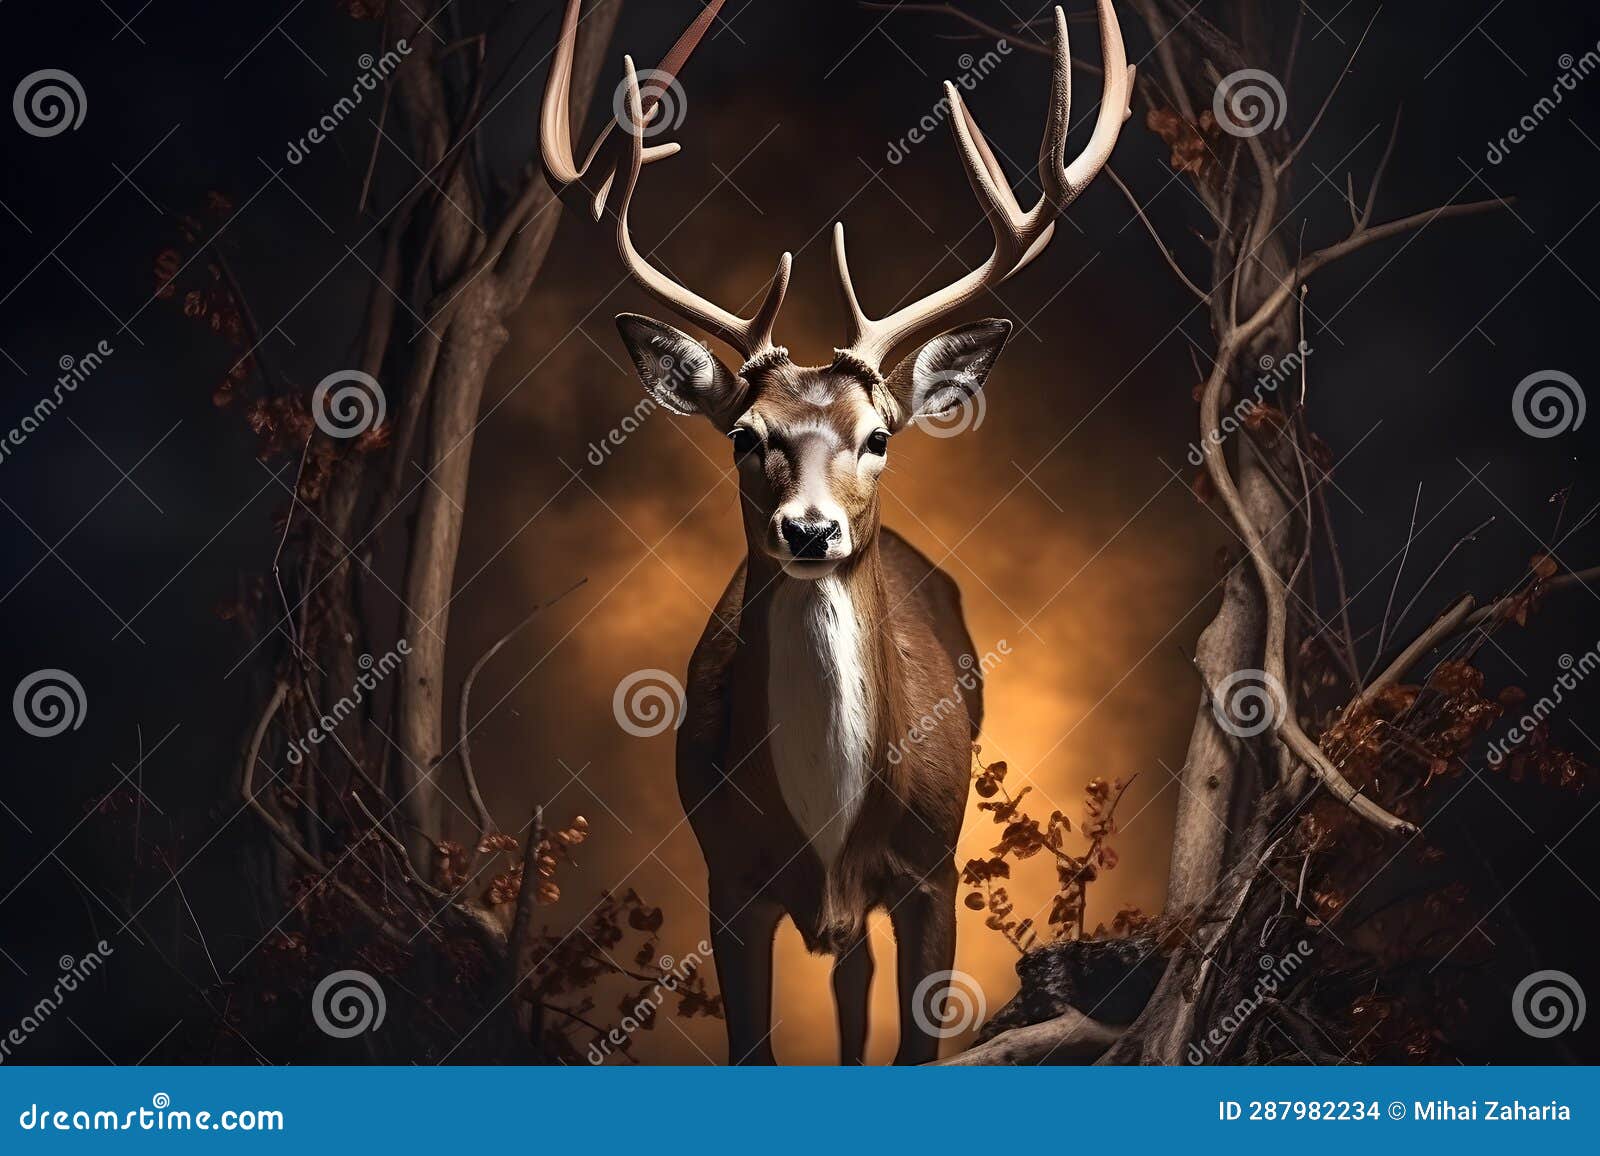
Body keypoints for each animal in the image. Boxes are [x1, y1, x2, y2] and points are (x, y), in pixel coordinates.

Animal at [540, 0, 1133, 1064]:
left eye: (880, 436)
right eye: (744, 434)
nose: (810, 531)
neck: (827, 838)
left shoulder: (934, 873)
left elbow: (914, 1047)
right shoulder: (728, 880)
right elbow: (757, 1047)